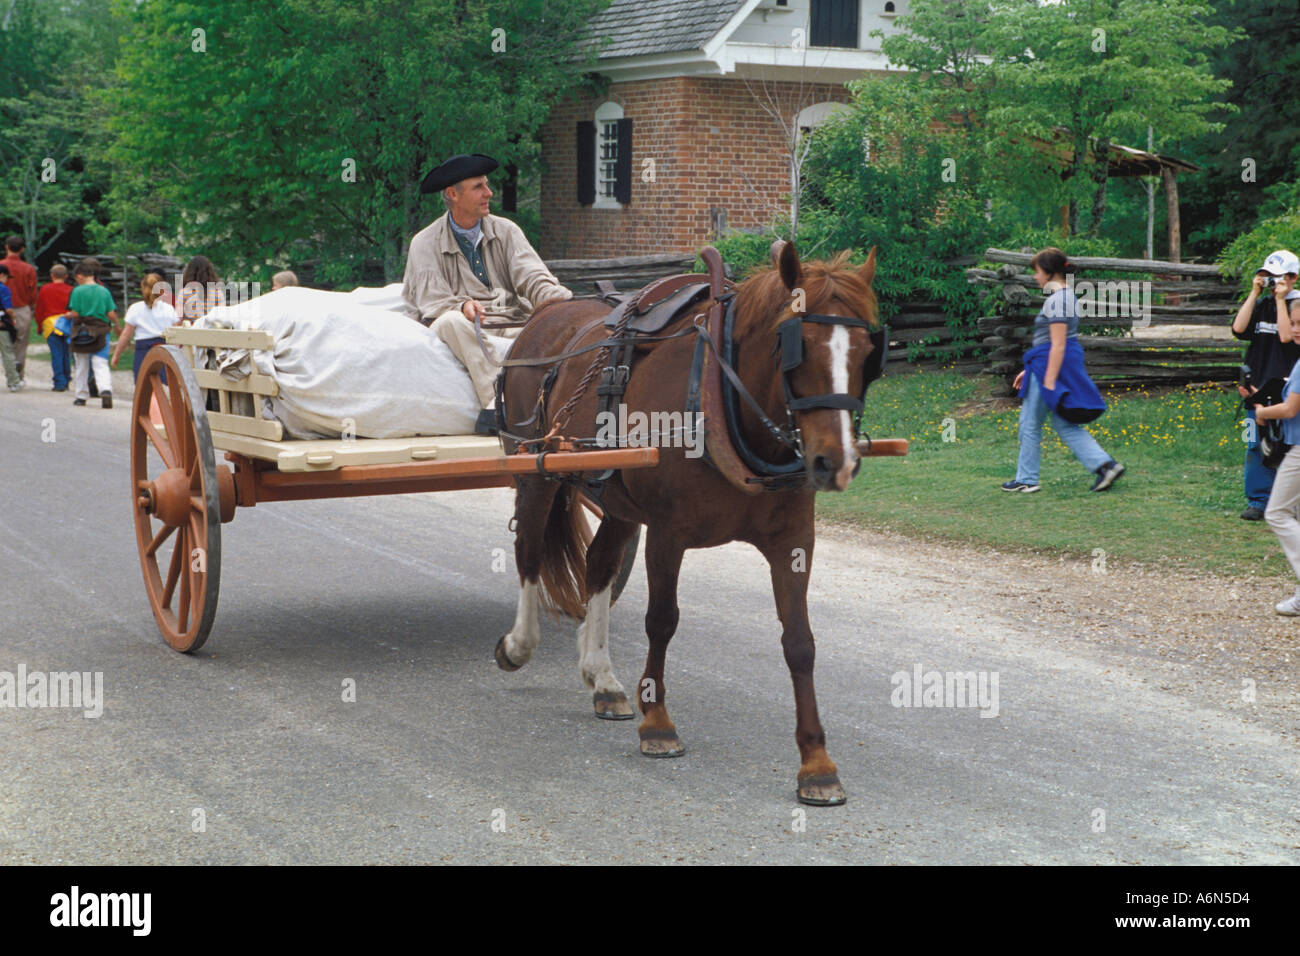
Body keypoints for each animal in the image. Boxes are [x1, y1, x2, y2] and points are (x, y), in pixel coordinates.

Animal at [493, 240, 881, 805]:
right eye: (797, 345)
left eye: (867, 352)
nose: (837, 462)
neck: (721, 397)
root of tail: (543, 316)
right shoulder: (667, 533)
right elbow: (662, 620)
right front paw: (657, 722)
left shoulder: (793, 541)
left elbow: (800, 642)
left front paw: (816, 762)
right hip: (536, 468)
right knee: (529, 550)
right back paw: (520, 645)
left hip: (615, 497)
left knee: (599, 565)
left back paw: (602, 678)